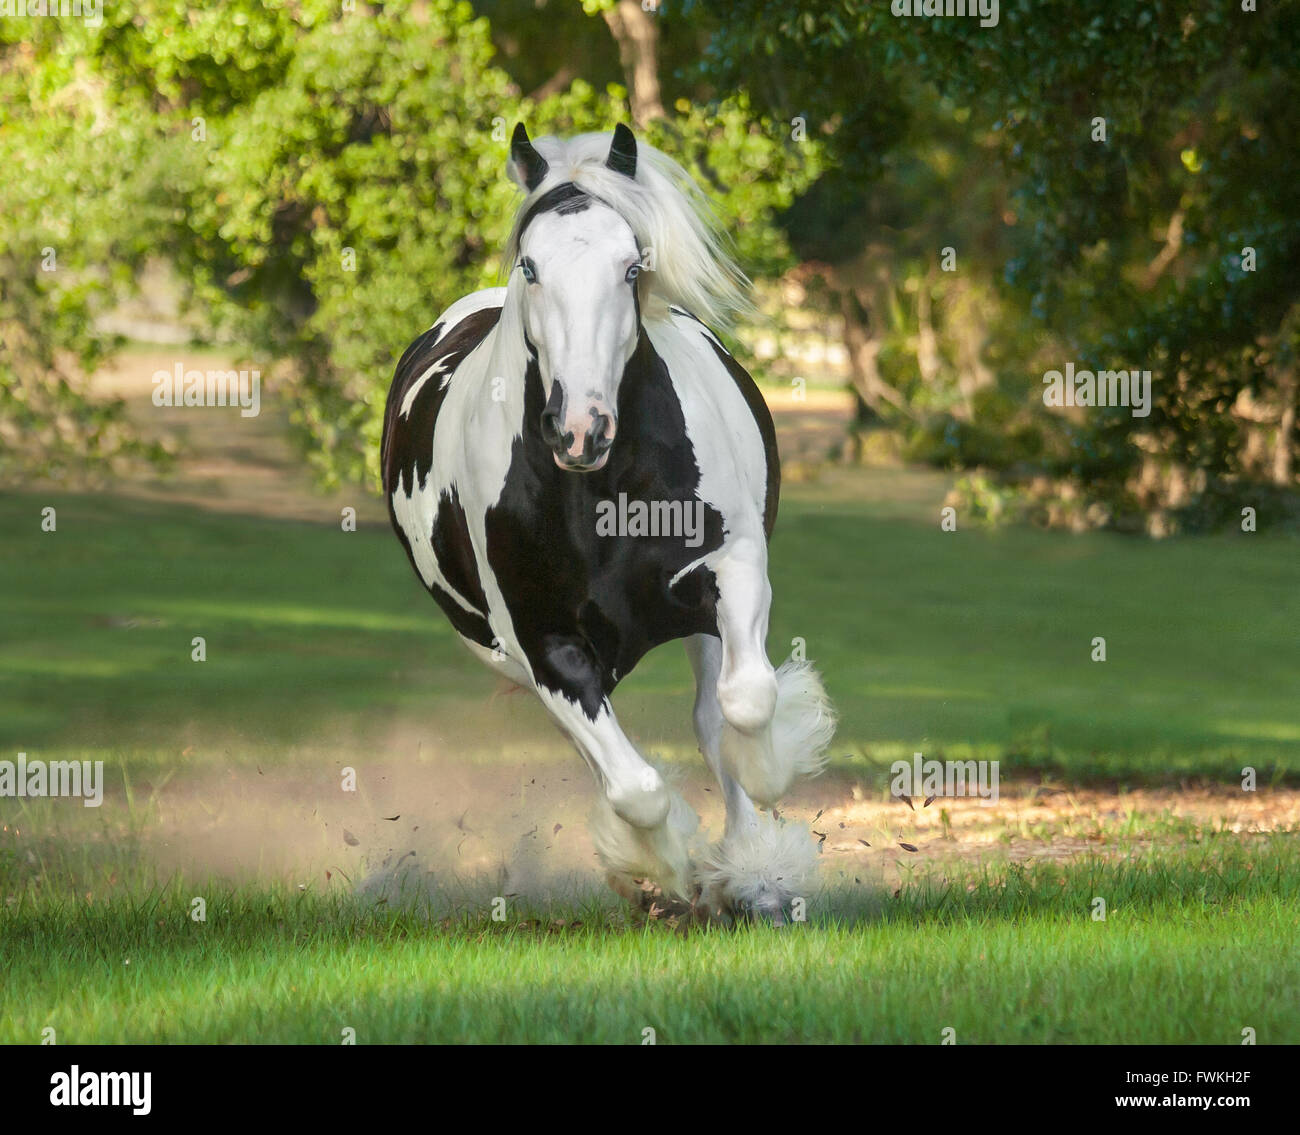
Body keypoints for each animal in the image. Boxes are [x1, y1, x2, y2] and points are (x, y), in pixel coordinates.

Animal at [380, 123, 836, 923]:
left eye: (632, 267)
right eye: (530, 265)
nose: (580, 429)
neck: (604, 493)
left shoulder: (730, 567)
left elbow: (745, 706)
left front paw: (760, 828)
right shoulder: (545, 645)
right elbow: (635, 787)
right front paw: (665, 867)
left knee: (715, 714)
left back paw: (752, 869)